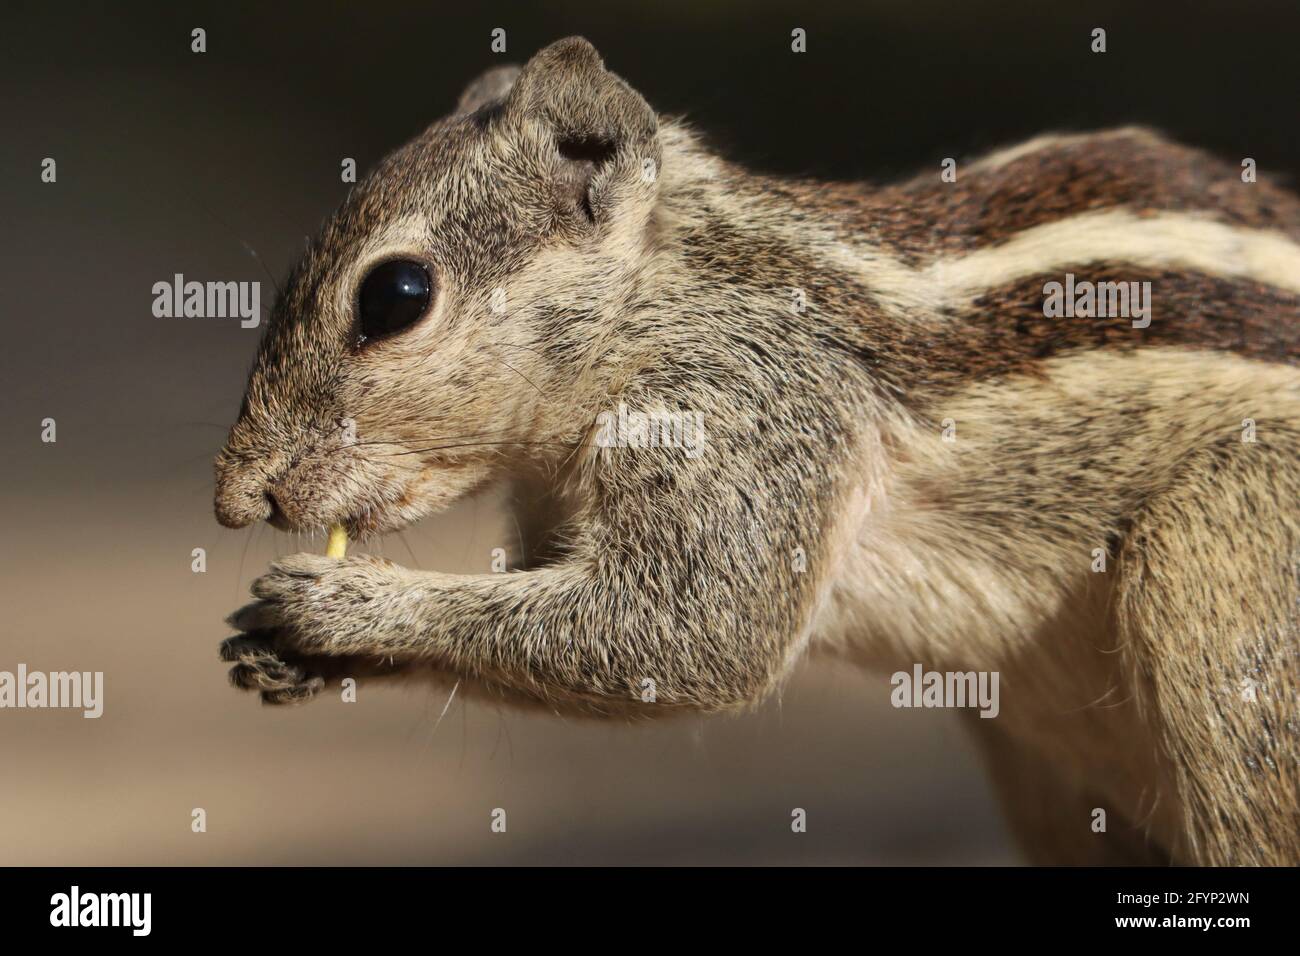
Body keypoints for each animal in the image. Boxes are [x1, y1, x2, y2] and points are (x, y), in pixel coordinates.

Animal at [214, 37, 1300, 866]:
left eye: (394, 296)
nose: (236, 500)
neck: (669, 297)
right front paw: (286, 653)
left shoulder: (749, 412)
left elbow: (692, 630)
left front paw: (343, 604)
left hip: (1221, 560)